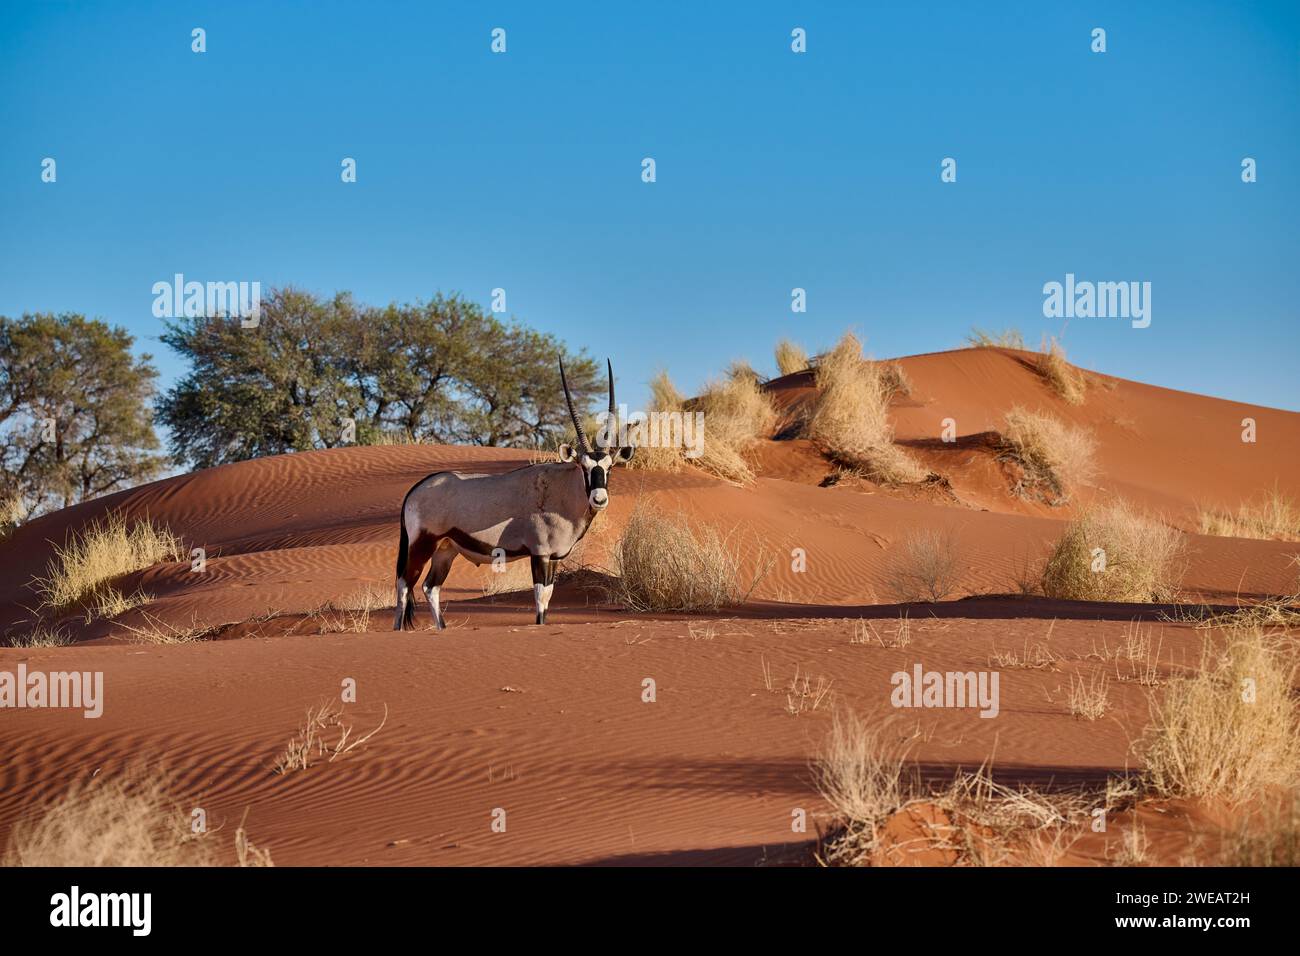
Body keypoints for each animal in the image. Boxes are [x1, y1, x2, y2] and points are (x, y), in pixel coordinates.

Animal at [393, 359, 634, 630]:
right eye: (584, 467)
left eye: (609, 468)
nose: (599, 499)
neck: (561, 490)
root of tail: (416, 489)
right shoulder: (540, 554)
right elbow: (540, 597)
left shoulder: (554, 557)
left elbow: (548, 596)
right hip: (421, 545)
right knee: (404, 585)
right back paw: (398, 630)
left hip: (446, 550)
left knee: (430, 587)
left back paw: (442, 628)